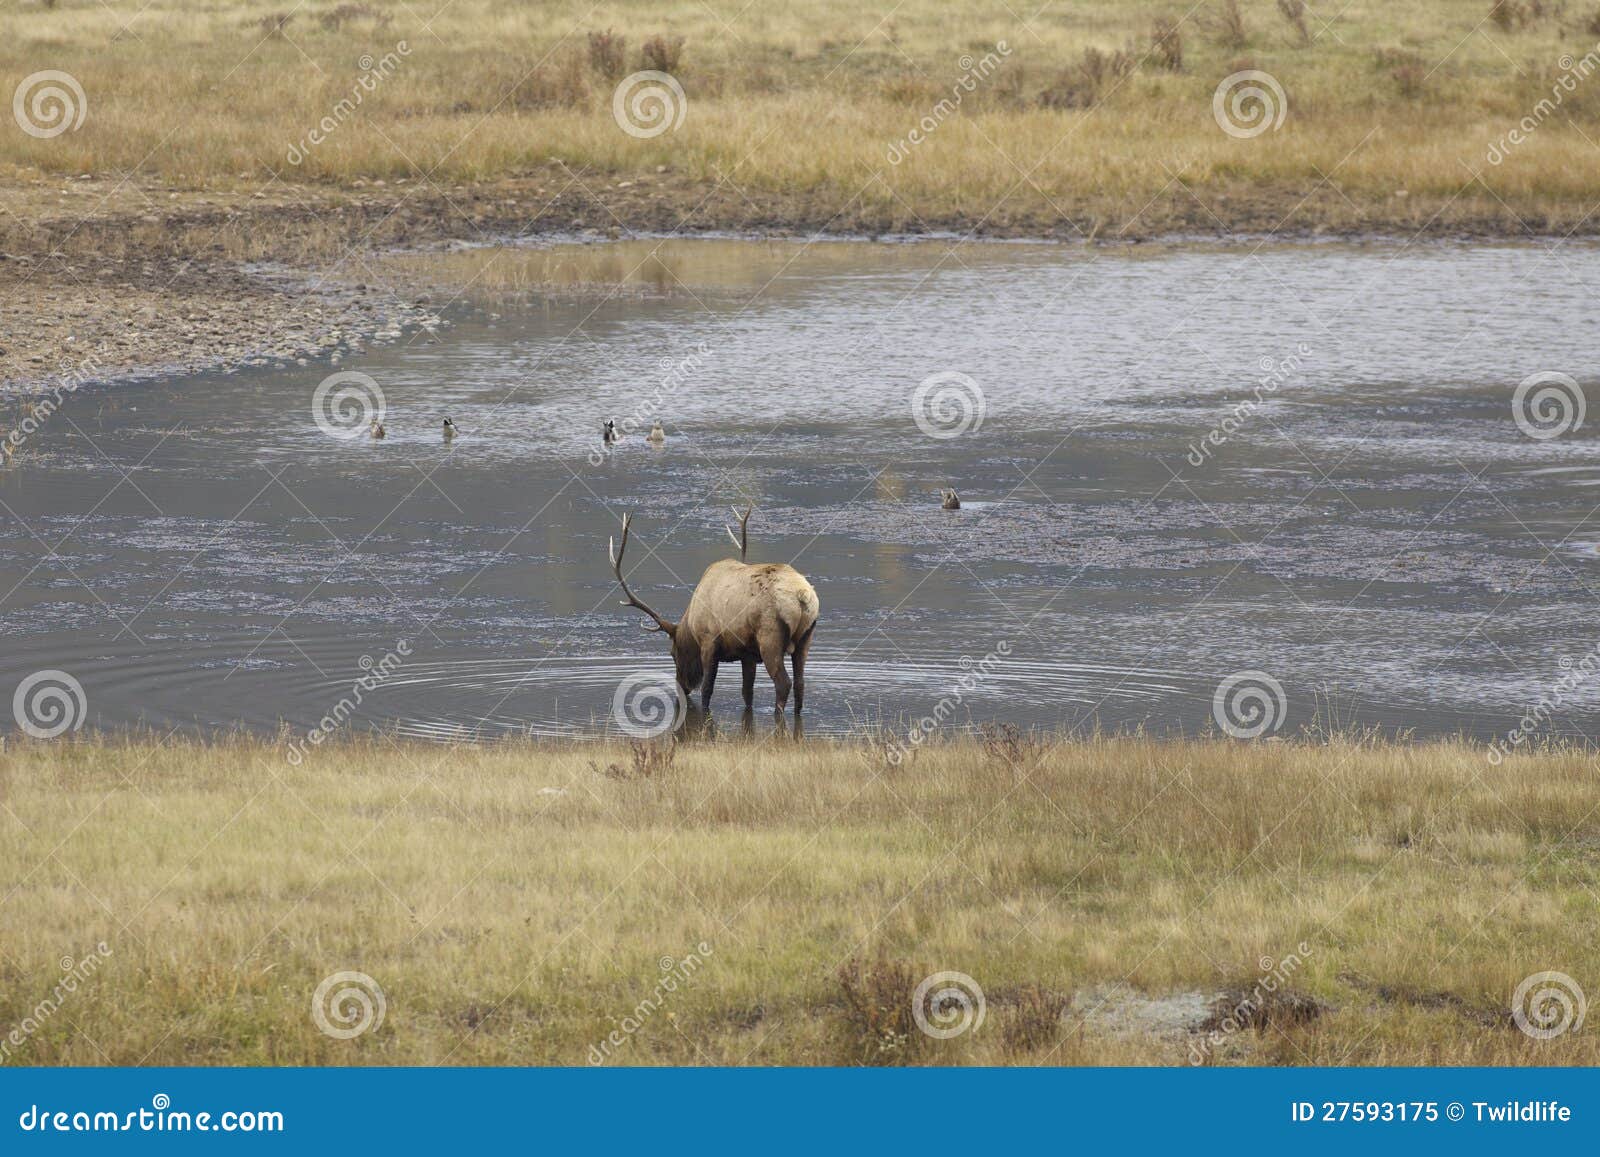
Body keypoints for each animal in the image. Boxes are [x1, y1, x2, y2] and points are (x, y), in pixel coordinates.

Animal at [608, 505, 819, 714]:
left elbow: (707, 689)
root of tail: (802, 596)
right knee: (800, 684)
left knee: (783, 683)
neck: (691, 623)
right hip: (806, 638)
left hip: (769, 636)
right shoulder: (747, 654)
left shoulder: (709, 641)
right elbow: (746, 693)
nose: (682, 687)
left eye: (672, 653)